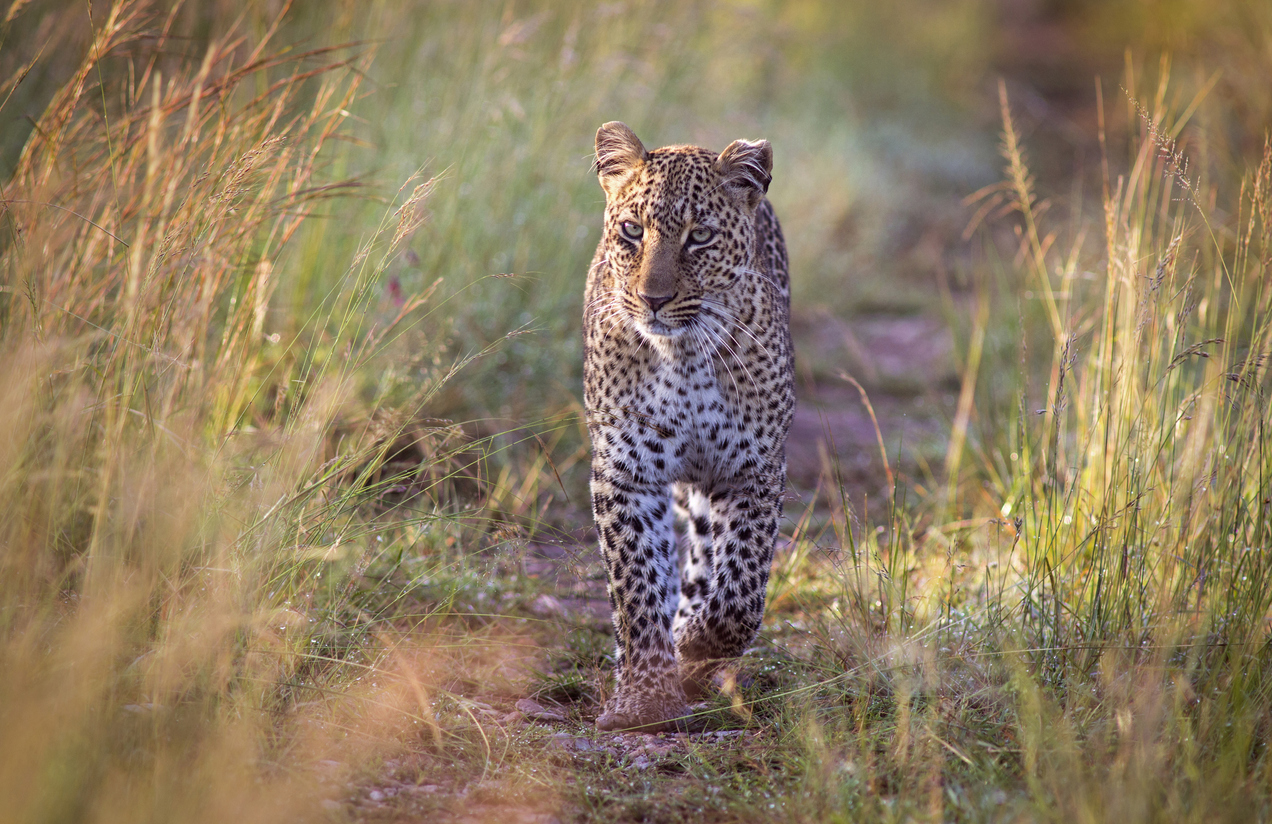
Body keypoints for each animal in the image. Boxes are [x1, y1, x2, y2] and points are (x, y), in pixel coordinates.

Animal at [582, 121, 795, 732]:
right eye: (632, 230)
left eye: (699, 237)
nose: (653, 299)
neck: (684, 359)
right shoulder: (625, 473)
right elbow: (637, 586)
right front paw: (643, 698)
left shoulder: (753, 470)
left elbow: (741, 590)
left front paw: (696, 644)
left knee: (707, 559)